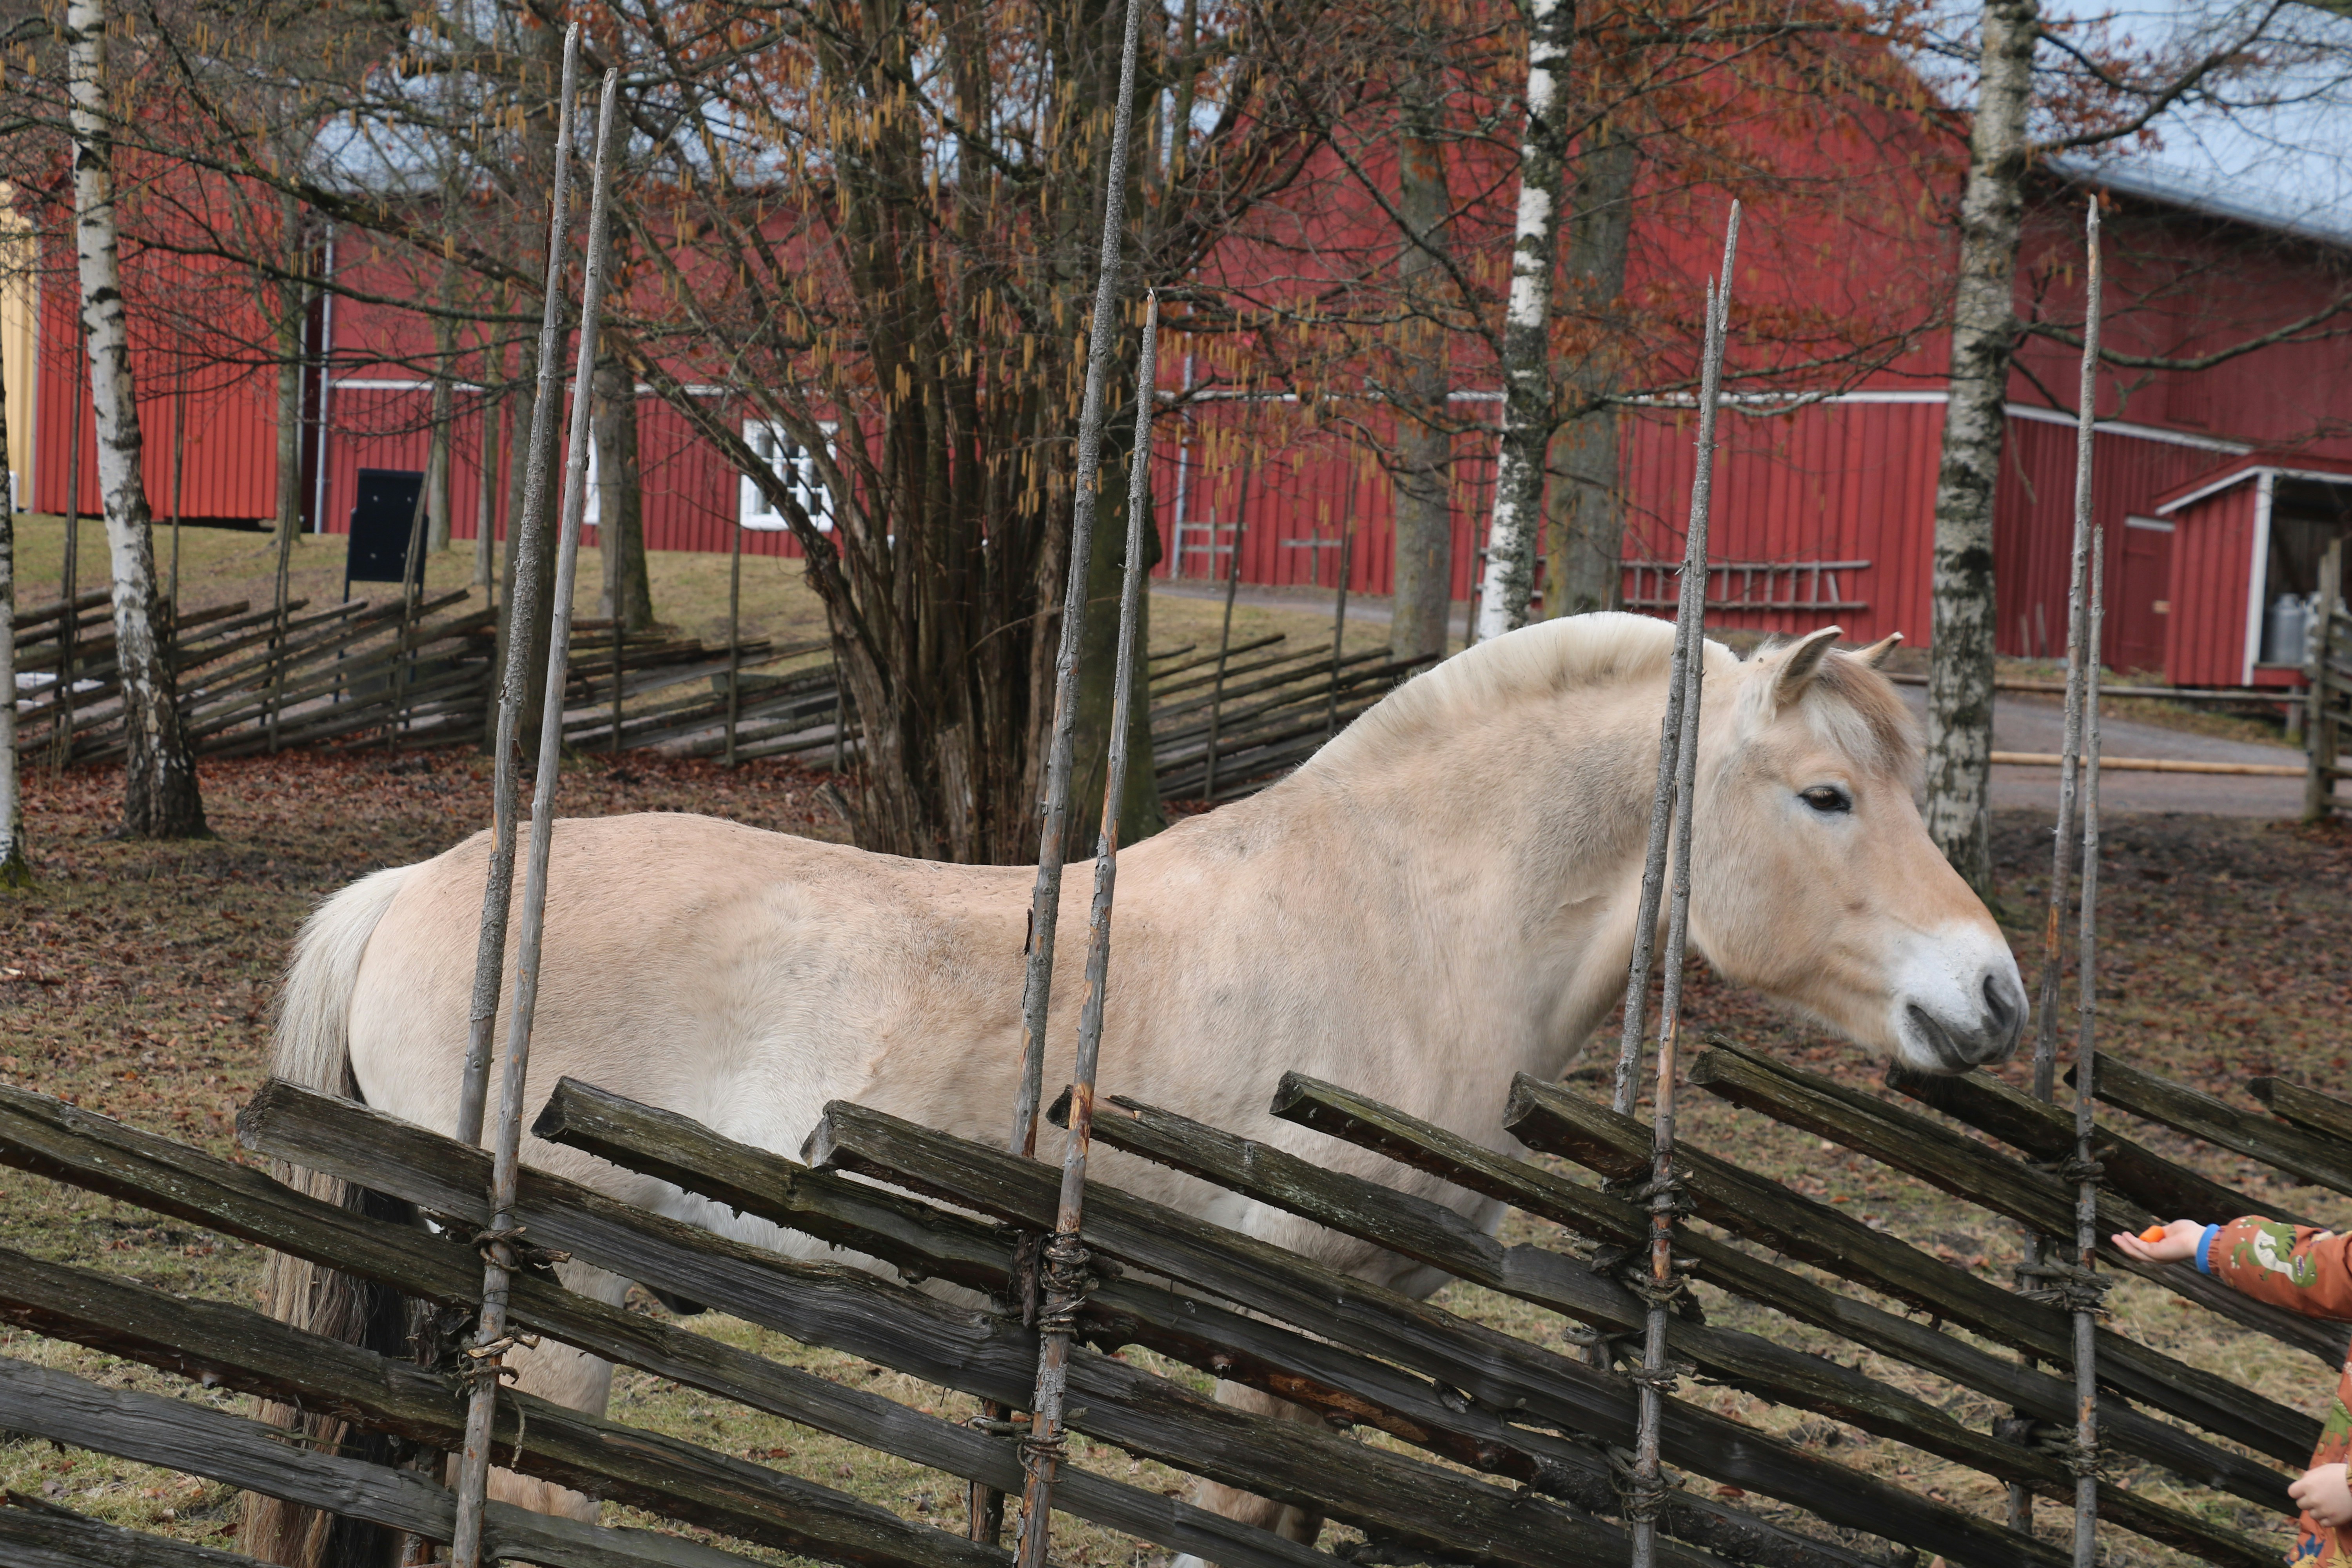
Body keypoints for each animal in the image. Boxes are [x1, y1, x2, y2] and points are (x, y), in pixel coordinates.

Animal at [242, 614, 2023, 1564]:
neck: (1397, 914)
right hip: (561, 1295)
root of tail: (412, 885)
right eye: (1826, 795)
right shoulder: (1274, 1324)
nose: (1994, 996)